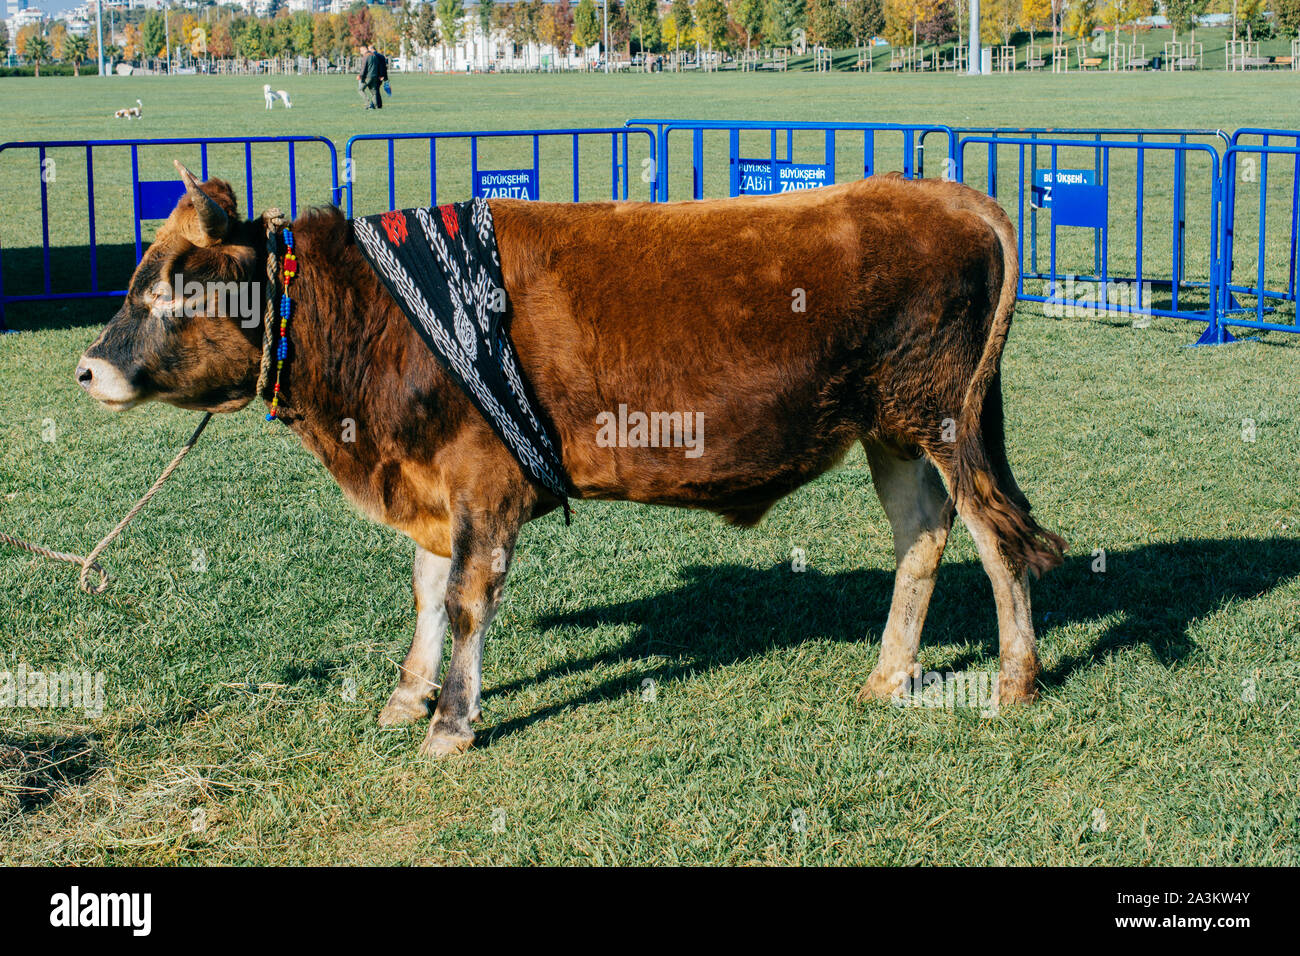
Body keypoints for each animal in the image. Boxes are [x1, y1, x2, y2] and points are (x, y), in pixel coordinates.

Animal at [76, 161, 1066, 758]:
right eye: (137, 282)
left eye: (169, 291)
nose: (86, 368)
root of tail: (950, 194)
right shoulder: (433, 486)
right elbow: (426, 591)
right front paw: (408, 696)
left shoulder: (481, 481)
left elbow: (466, 601)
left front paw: (452, 724)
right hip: (891, 433)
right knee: (923, 537)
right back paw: (888, 676)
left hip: (944, 420)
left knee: (997, 543)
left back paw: (1014, 683)